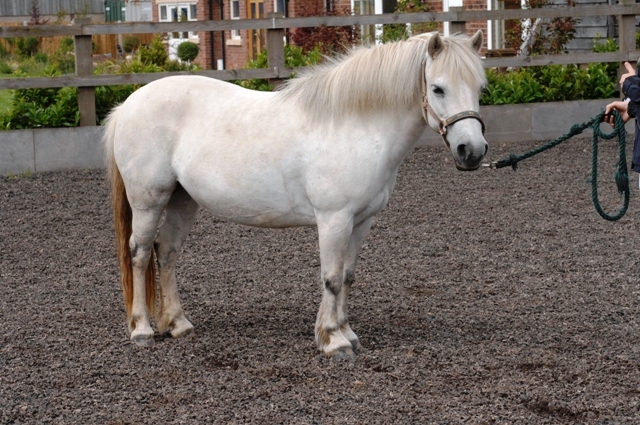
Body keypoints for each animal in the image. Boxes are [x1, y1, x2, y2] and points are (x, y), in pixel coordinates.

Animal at [104, 30, 488, 359]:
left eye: (480, 87)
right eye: (438, 88)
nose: (472, 151)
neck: (356, 127)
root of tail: (128, 105)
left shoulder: (361, 222)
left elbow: (347, 276)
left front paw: (347, 333)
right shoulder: (334, 220)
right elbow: (331, 277)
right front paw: (333, 340)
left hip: (183, 200)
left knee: (166, 252)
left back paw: (178, 324)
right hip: (149, 200)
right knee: (140, 254)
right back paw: (142, 329)